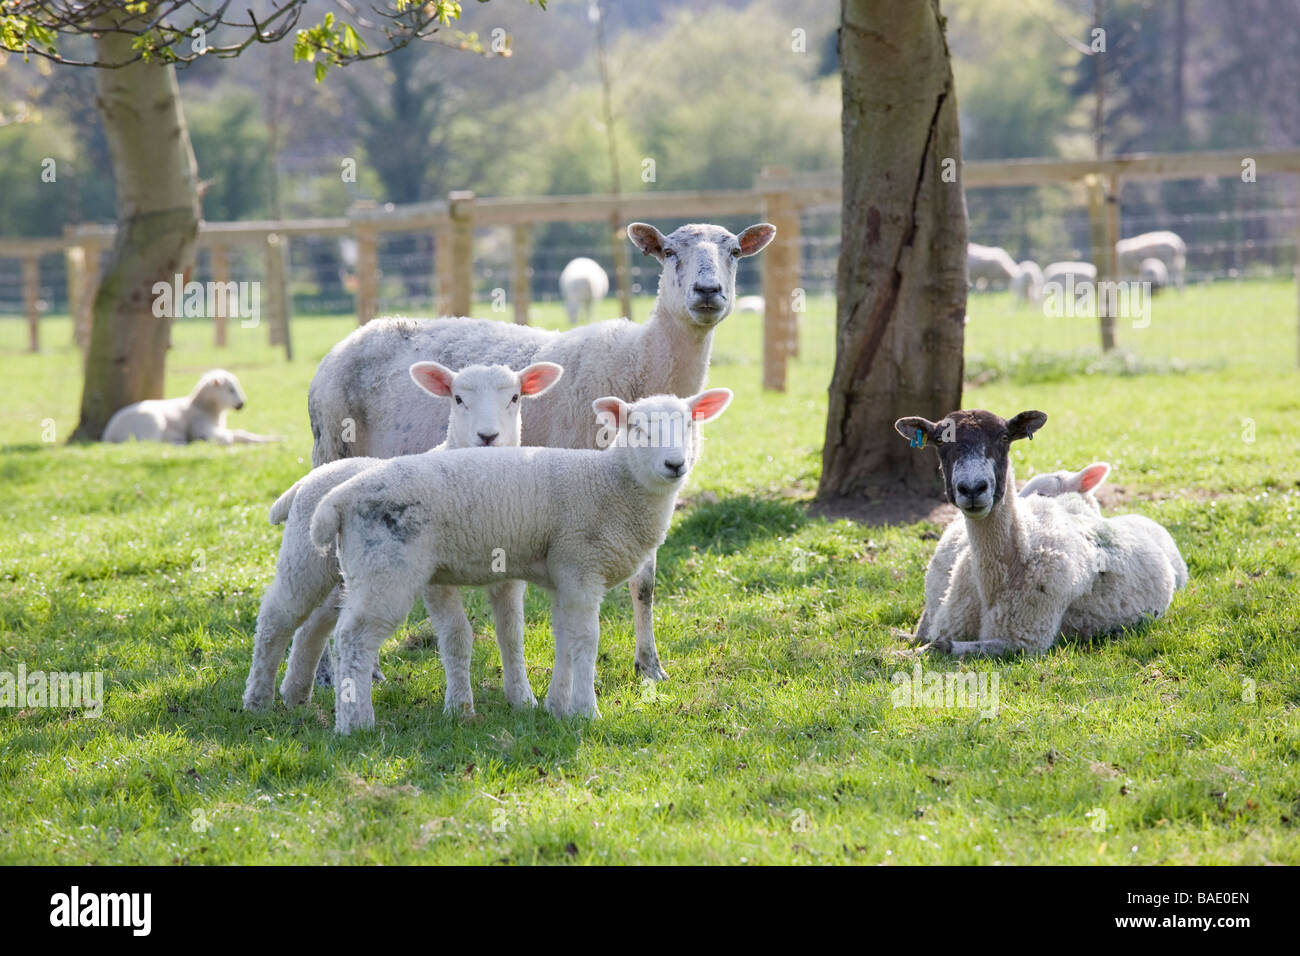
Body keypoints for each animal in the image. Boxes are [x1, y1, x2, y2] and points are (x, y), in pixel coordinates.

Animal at [102, 370, 279, 444]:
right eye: (230, 389)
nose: (242, 404)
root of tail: (108, 433)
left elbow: (241, 434)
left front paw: (273, 439)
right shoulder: (202, 428)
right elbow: (228, 436)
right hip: (153, 421)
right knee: (149, 443)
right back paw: (180, 442)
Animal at [243, 360, 564, 715]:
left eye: (515, 397)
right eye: (458, 399)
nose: (488, 436)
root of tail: (308, 479)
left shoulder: (510, 572)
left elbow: (511, 634)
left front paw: (522, 698)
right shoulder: (436, 579)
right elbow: (456, 635)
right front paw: (459, 706)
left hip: (345, 574)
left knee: (313, 626)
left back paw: (296, 694)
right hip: (304, 558)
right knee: (276, 619)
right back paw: (257, 699)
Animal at [298, 388, 733, 733]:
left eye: (690, 426)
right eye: (639, 430)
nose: (675, 464)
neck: (611, 484)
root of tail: (342, 497)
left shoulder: (563, 573)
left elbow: (564, 639)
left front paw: (557, 706)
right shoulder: (581, 566)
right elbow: (586, 639)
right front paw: (586, 711)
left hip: (366, 569)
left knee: (340, 636)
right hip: (386, 568)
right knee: (353, 640)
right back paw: (356, 724)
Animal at [306, 220, 776, 684]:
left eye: (735, 252)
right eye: (669, 253)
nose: (708, 291)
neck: (638, 363)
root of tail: (353, 337)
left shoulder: (641, 494)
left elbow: (645, 586)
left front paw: (649, 667)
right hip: (330, 449)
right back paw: (330, 674)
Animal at [894, 410, 1187, 656]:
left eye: (1004, 438)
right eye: (940, 442)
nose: (973, 488)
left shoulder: (1022, 640)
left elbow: (939, 646)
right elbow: (933, 642)